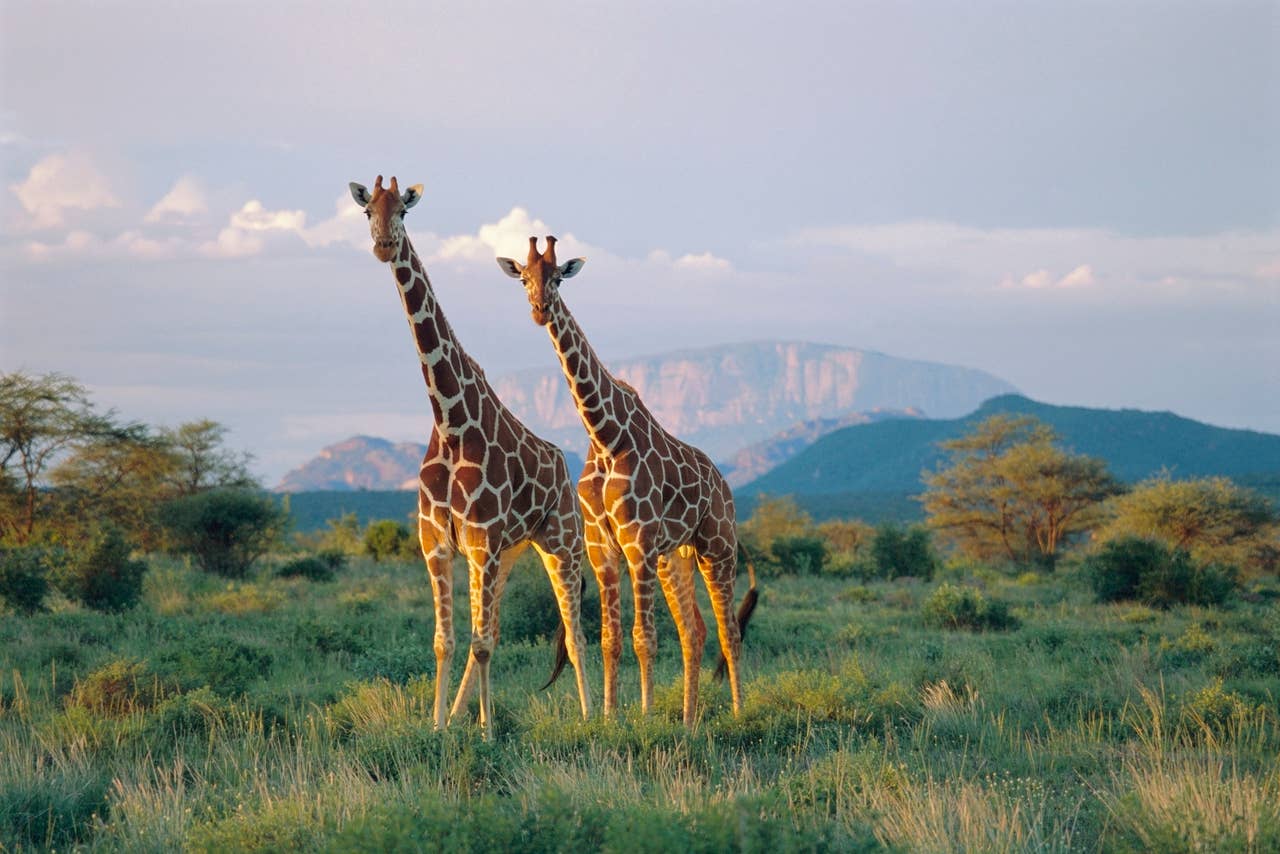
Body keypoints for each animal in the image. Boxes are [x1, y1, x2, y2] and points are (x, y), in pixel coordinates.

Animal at [350, 177, 592, 737]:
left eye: (404, 212)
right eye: (368, 210)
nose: (383, 245)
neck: (451, 421)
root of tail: (563, 465)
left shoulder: (481, 542)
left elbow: (480, 643)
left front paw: (486, 733)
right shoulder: (438, 542)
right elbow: (449, 640)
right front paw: (440, 728)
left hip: (560, 543)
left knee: (574, 634)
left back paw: (599, 716)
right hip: (510, 554)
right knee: (496, 630)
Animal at [497, 236, 758, 727]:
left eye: (558, 276)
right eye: (524, 278)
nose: (540, 309)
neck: (604, 435)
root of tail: (723, 483)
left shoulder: (637, 543)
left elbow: (644, 638)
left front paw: (646, 715)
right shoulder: (603, 548)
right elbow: (611, 638)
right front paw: (608, 716)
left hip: (717, 547)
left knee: (729, 630)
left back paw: (736, 712)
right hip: (675, 556)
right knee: (694, 630)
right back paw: (689, 721)